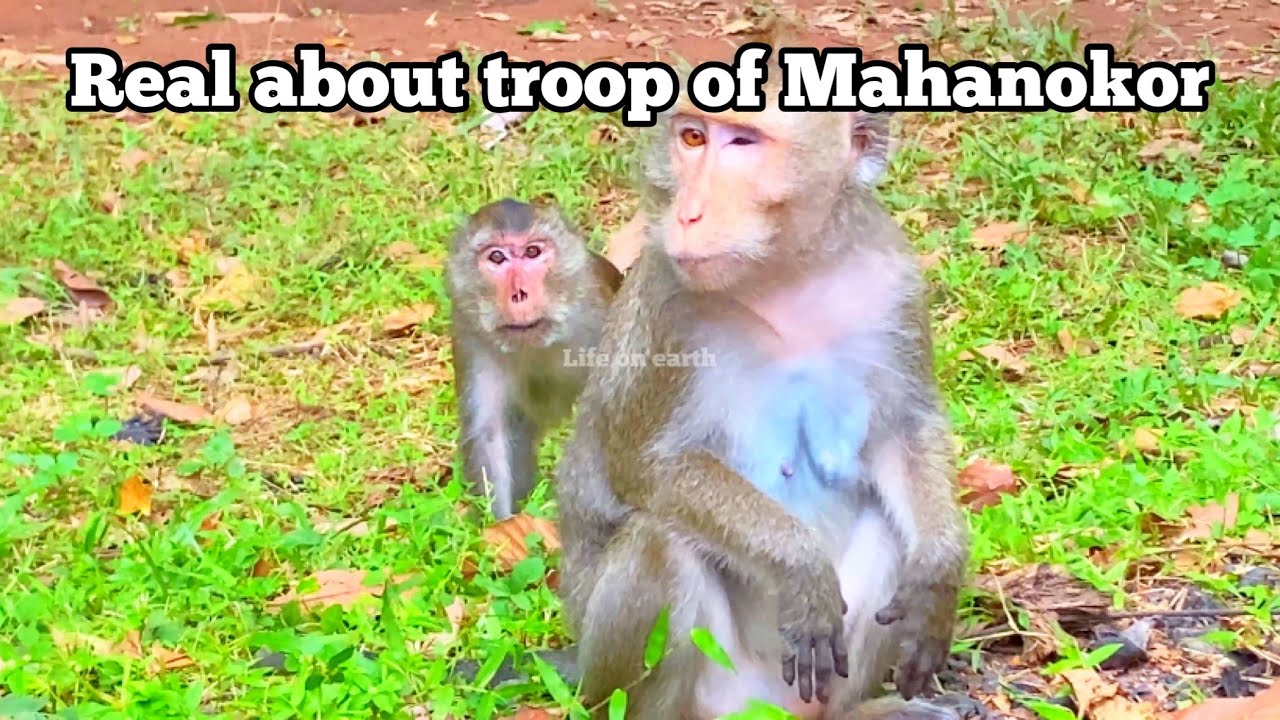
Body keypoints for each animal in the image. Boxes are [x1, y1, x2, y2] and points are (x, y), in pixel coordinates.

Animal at [445, 198, 624, 520]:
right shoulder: (471, 338)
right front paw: (501, 525)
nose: (519, 294)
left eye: (532, 252)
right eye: (497, 257)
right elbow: (491, 434)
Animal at [553, 46, 970, 720]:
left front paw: (940, 567)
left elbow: (903, 436)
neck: (785, 278)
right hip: (663, 686)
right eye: (693, 137)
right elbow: (646, 471)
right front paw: (798, 565)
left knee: (887, 524)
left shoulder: (895, 283)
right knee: (659, 544)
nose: (688, 212)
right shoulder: (667, 307)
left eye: (744, 142)